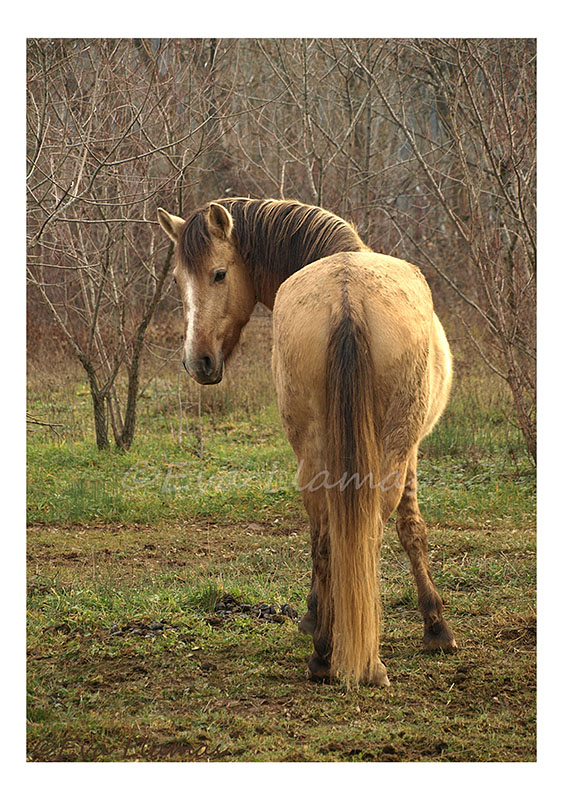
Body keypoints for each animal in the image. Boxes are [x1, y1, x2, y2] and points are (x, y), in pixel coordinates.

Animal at [157, 197, 457, 686]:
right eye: (179, 280)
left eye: (218, 274)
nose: (197, 361)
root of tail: (347, 298)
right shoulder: (410, 451)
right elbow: (411, 529)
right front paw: (436, 627)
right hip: (387, 454)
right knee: (363, 534)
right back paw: (356, 654)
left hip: (312, 453)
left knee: (325, 534)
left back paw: (323, 651)